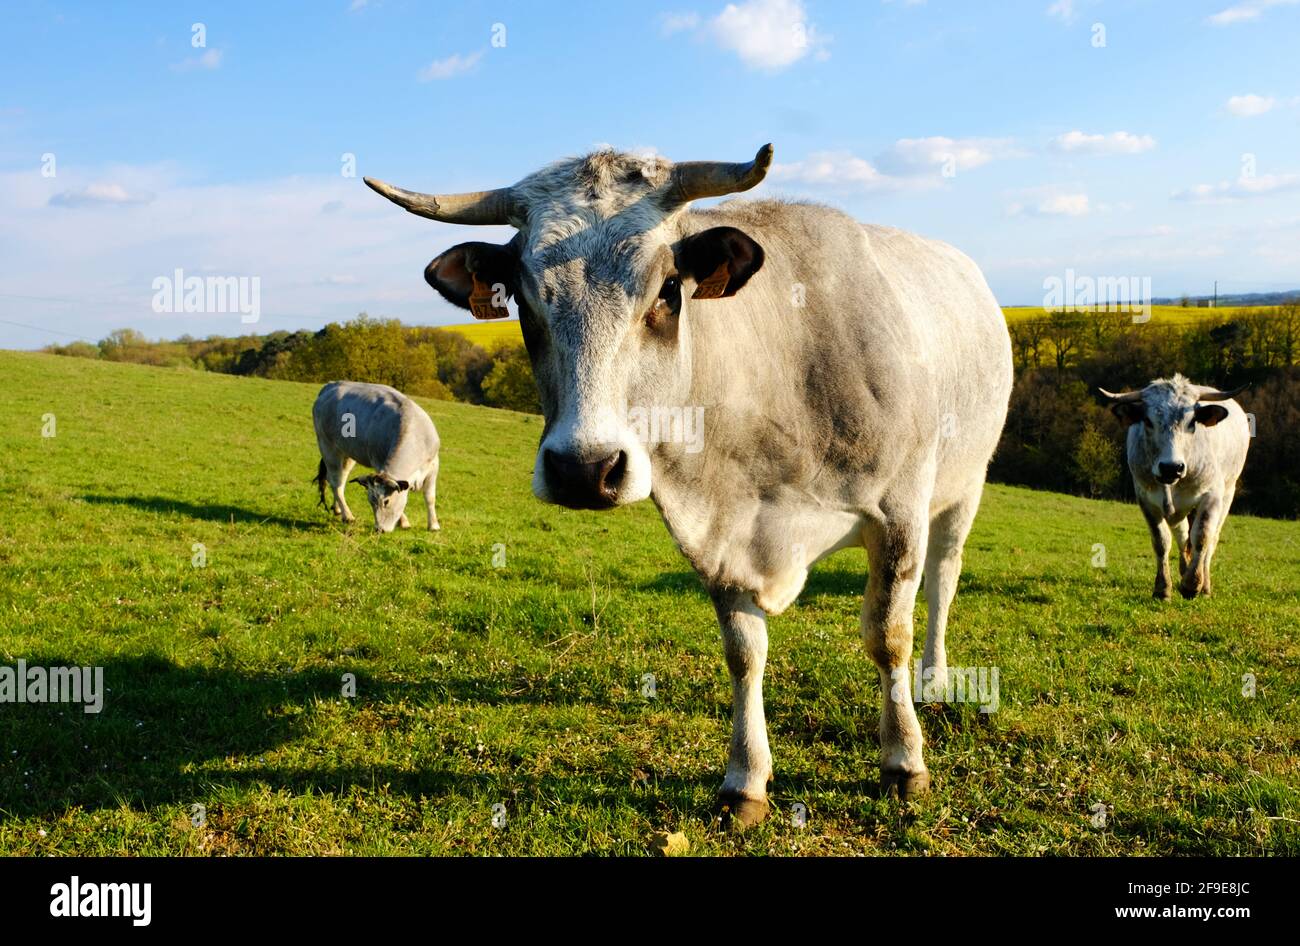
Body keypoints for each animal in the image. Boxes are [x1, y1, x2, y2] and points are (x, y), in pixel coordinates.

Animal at [312, 380, 441, 533]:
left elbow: (430, 497)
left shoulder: (433, 465)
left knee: (341, 480)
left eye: (386, 501)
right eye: (371, 502)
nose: (379, 529)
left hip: (347, 453)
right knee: (335, 482)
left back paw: (337, 508)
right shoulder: (378, 462)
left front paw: (433, 525)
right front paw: (403, 521)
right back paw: (347, 515)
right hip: (328, 447)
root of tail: (331, 385)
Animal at [365, 144, 1013, 825]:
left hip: (965, 484)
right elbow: (744, 653)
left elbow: (887, 637)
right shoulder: (721, 534)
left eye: (670, 289)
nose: (583, 469)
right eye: (520, 296)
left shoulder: (898, 515)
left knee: (944, 579)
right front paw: (745, 779)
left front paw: (903, 762)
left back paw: (934, 680)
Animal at [1101, 375, 1249, 600]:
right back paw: (1184, 568)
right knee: (1182, 534)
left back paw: (1204, 585)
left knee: (1210, 540)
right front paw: (1163, 588)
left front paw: (1192, 584)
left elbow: (1202, 538)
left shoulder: (1212, 496)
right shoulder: (1145, 499)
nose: (1171, 467)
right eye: (1148, 421)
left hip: (1227, 493)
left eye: (1192, 422)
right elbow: (1161, 541)